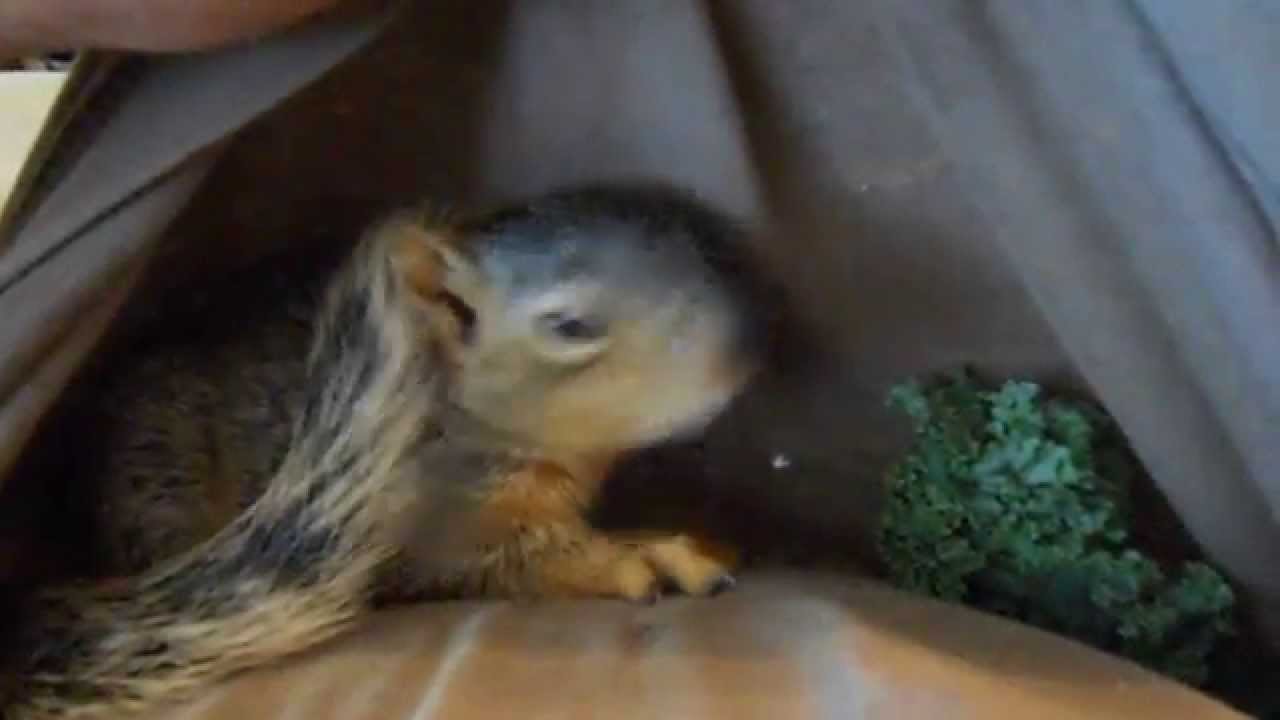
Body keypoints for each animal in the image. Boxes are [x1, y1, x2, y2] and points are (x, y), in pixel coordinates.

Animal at [0, 182, 769, 719]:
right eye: (571, 326)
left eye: (696, 245)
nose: (744, 353)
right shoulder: (429, 520)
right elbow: (511, 559)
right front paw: (636, 554)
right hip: (156, 484)